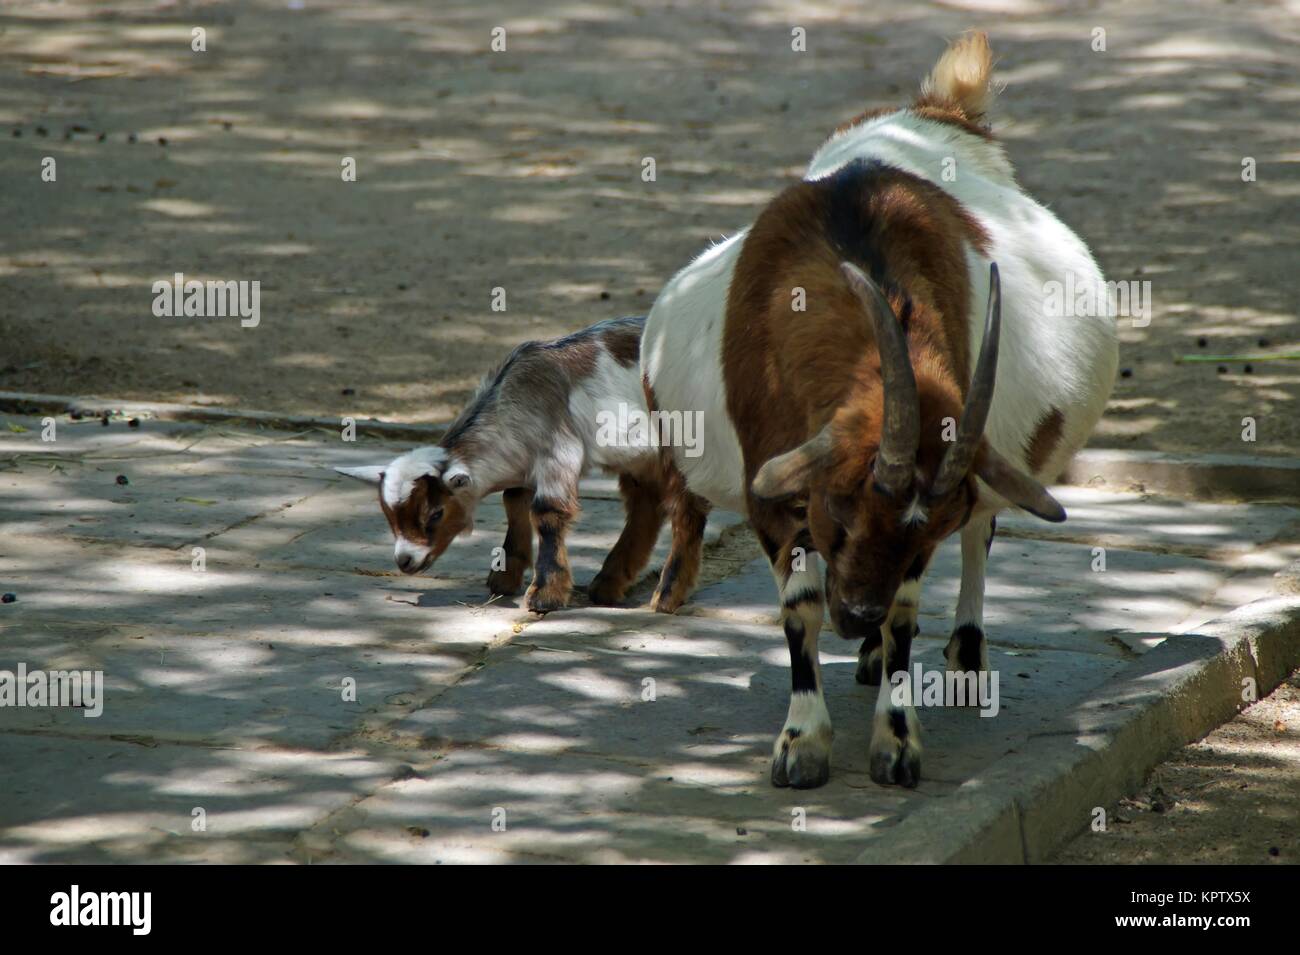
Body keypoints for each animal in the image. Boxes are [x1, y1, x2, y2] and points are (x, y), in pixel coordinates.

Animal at [337, 316, 707, 614]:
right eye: (389, 516)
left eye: (435, 513)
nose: (405, 560)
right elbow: (513, 501)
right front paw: (504, 577)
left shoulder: (558, 454)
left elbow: (546, 512)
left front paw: (544, 595)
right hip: (640, 456)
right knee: (646, 504)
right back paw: (609, 584)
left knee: (686, 508)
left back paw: (667, 595)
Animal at [640, 33, 1118, 789]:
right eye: (838, 505)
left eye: (922, 529)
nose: (856, 612)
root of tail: (943, 108)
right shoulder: (772, 500)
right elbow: (801, 609)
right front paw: (802, 742)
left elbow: (907, 611)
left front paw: (895, 738)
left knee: (982, 534)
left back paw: (965, 655)